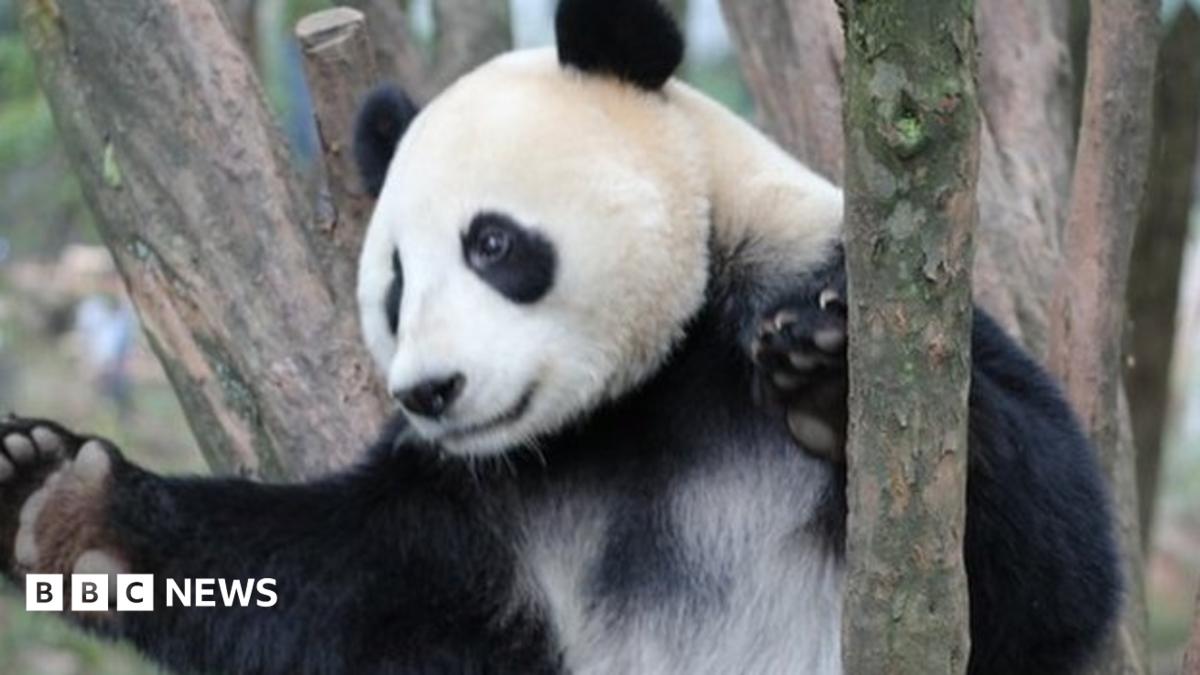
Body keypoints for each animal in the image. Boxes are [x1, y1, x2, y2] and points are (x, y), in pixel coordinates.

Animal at [0, 0, 1119, 673]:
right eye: (394, 286)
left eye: (493, 243)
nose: (429, 393)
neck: (644, 395)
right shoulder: (477, 504)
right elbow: (342, 586)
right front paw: (61, 500)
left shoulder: (810, 263)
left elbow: (1053, 569)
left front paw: (824, 381)